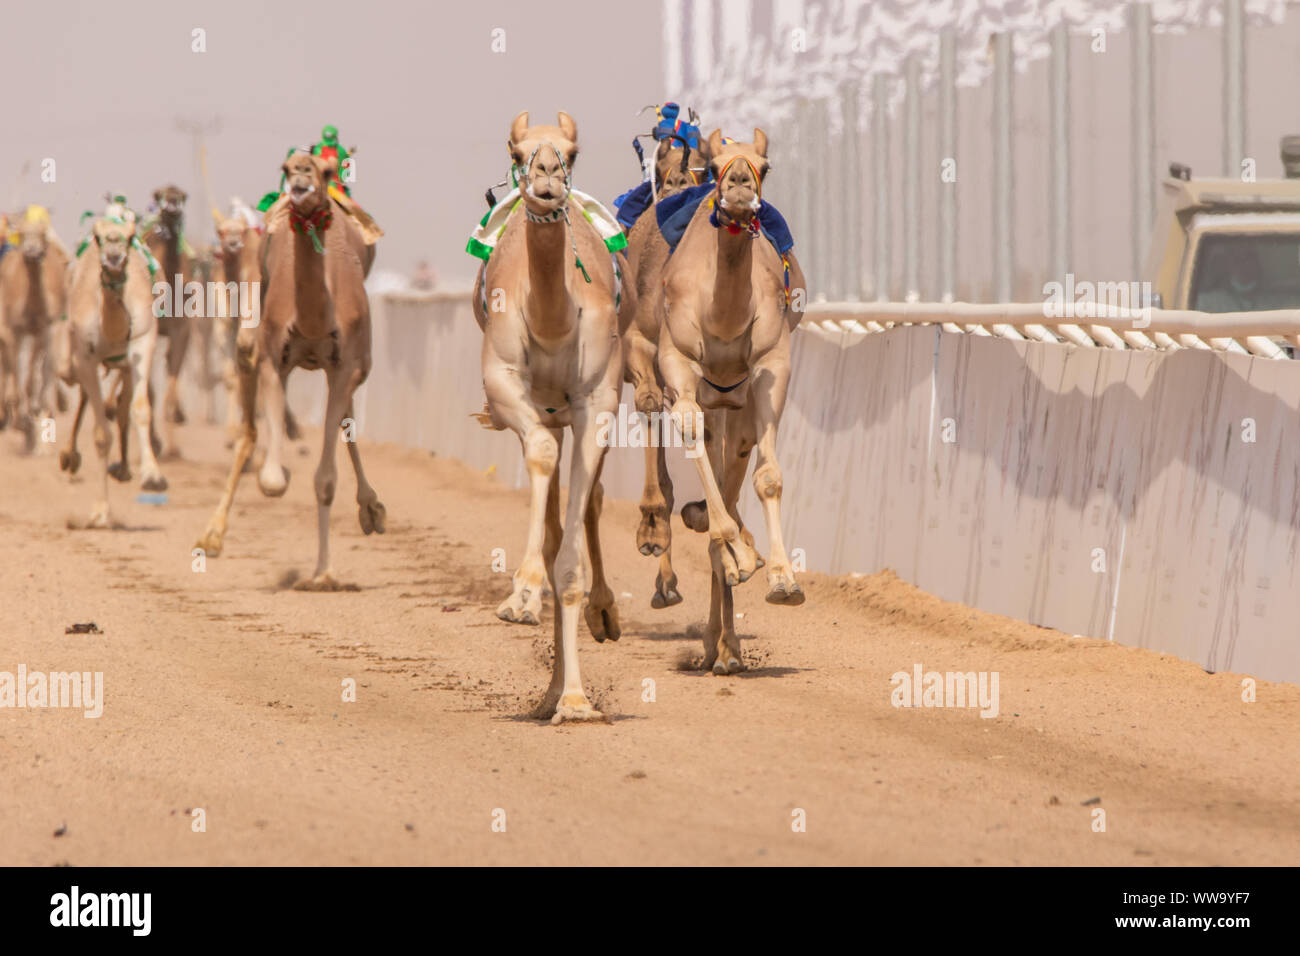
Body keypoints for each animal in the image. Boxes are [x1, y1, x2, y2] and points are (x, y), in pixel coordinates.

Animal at [0, 207, 68, 447]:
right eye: (21, 233)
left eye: (42, 234)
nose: (31, 251)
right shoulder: (17, 330)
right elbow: (18, 371)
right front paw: (21, 420)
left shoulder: (47, 327)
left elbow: (42, 371)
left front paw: (39, 412)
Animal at [59, 215, 167, 526]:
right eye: (97, 237)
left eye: (130, 237)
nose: (114, 256)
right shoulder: (84, 356)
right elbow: (100, 435)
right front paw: (100, 513)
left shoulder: (144, 342)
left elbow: (141, 409)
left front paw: (152, 476)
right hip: (76, 358)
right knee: (81, 390)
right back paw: (69, 456)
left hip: (127, 363)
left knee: (122, 401)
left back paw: (123, 469)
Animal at [195, 150, 386, 589]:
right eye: (285, 169)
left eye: (325, 170)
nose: (300, 166)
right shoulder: (272, 360)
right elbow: (271, 479)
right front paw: (276, 467)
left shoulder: (345, 367)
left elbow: (326, 478)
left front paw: (325, 573)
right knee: (250, 430)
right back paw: (212, 534)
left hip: (353, 365)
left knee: (347, 423)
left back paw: (371, 509)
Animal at [656, 128, 807, 676]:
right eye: (716, 159)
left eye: (765, 164)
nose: (740, 185)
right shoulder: (677, 365)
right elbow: (691, 437)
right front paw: (741, 557)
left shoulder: (770, 368)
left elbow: (769, 476)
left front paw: (782, 578)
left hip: (735, 410)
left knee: (734, 472)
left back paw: (726, 648)